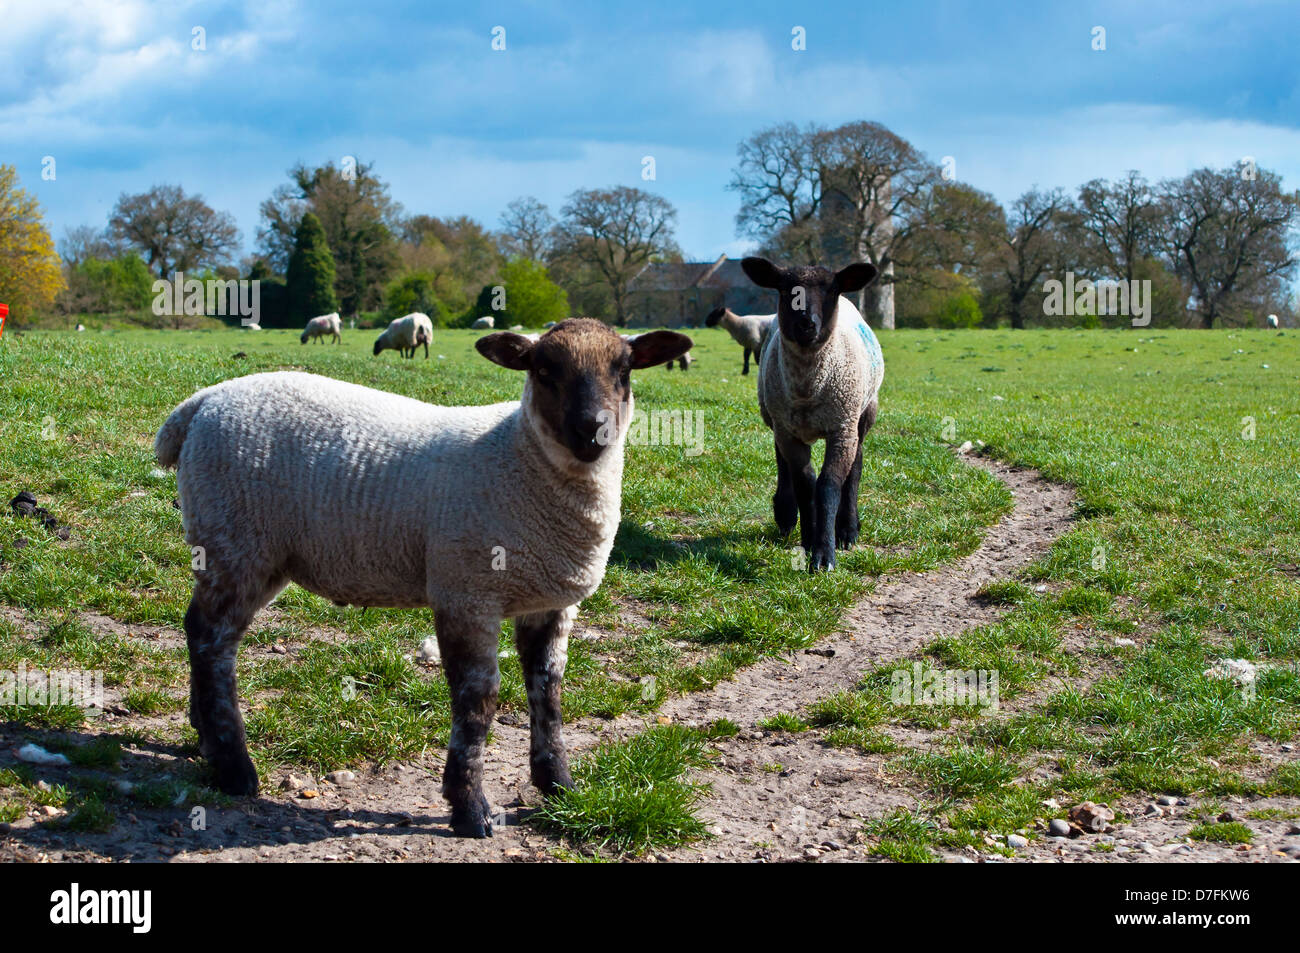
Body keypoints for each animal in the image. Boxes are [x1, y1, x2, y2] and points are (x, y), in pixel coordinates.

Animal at [154, 318, 693, 837]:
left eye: (624, 370)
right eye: (543, 370)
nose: (592, 430)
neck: (519, 458)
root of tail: (198, 406)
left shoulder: (551, 602)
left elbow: (549, 691)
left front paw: (558, 785)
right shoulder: (465, 591)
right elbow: (478, 701)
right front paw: (470, 808)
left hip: (253, 555)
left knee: (203, 634)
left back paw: (206, 740)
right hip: (236, 542)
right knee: (211, 640)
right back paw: (234, 767)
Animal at [741, 257, 883, 573]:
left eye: (833, 290)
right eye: (785, 290)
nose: (806, 324)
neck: (808, 389)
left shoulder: (842, 427)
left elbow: (829, 485)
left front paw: (824, 555)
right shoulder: (787, 429)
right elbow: (805, 482)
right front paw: (808, 540)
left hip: (863, 412)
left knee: (856, 465)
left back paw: (848, 528)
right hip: (774, 414)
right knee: (782, 462)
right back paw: (785, 514)